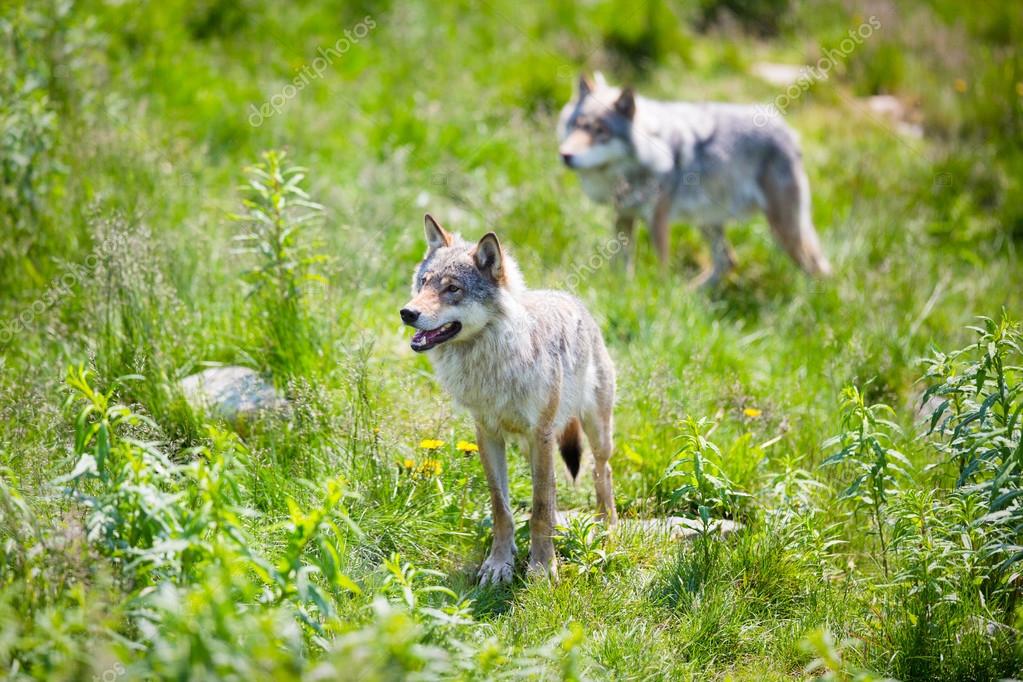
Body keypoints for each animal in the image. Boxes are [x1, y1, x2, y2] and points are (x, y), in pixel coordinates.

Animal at [400, 215, 617, 585]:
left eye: (453, 289)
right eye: (424, 283)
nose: (407, 312)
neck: (492, 365)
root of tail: (569, 299)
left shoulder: (540, 434)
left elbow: (539, 509)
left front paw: (542, 568)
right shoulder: (487, 435)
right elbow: (502, 508)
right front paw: (499, 564)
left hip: (593, 433)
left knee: (602, 472)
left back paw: (608, 528)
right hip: (537, 446)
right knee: (555, 489)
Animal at [557, 72, 831, 286]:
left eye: (600, 131)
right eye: (576, 126)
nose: (566, 156)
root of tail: (788, 131)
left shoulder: (658, 218)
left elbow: (661, 267)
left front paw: (661, 296)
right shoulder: (623, 216)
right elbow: (622, 264)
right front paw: (623, 290)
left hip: (783, 231)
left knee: (817, 268)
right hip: (708, 223)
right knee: (727, 261)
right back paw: (689, 294)